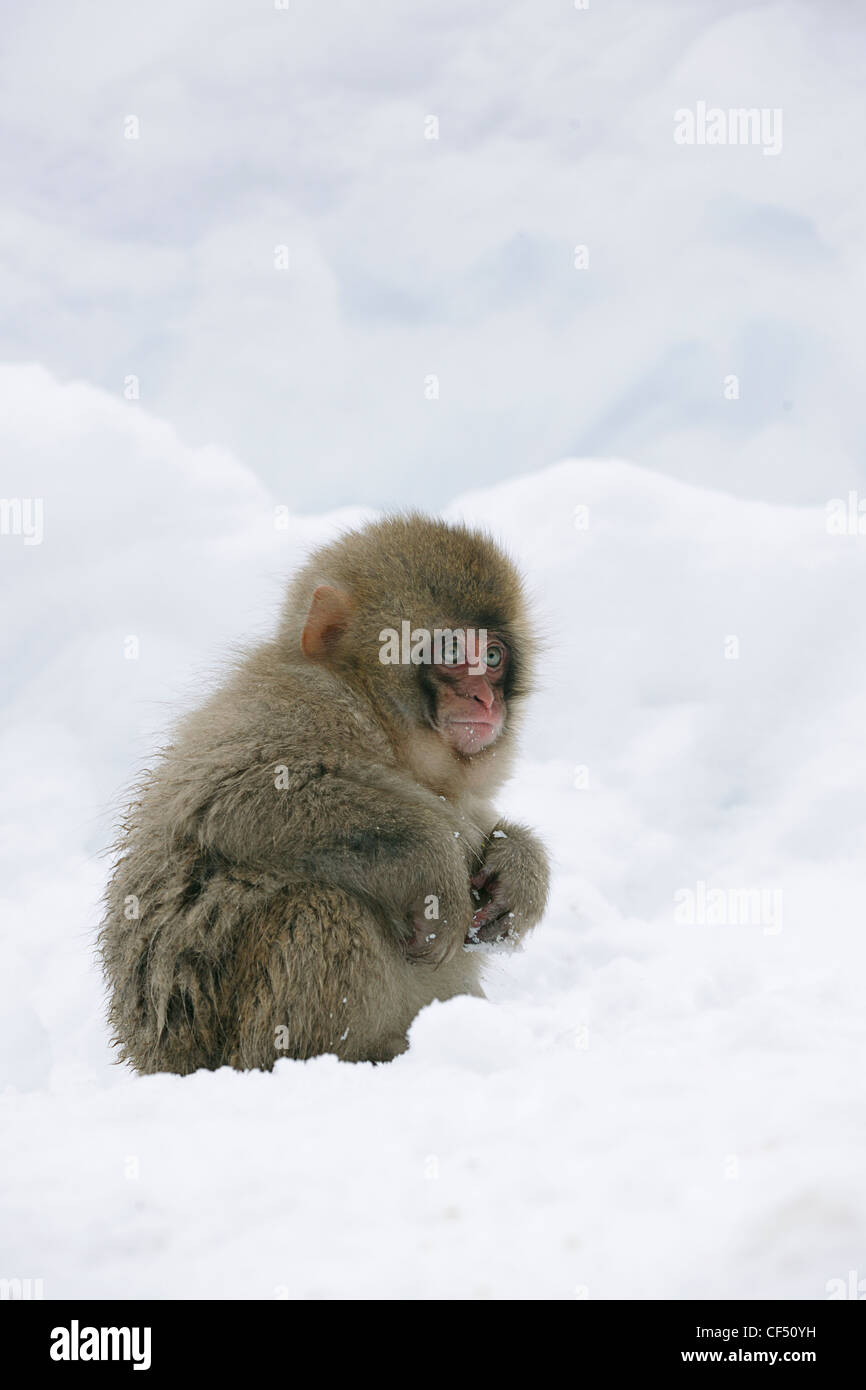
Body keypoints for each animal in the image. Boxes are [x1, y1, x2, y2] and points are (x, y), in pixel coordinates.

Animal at [99, 514, 550, 1073]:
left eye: (492, 655)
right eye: (450, 652)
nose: (485, 699)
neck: (382, 724)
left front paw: (519, 867)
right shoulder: (292, 708)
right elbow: (228, 796)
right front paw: (435, 867)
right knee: (322, 908)